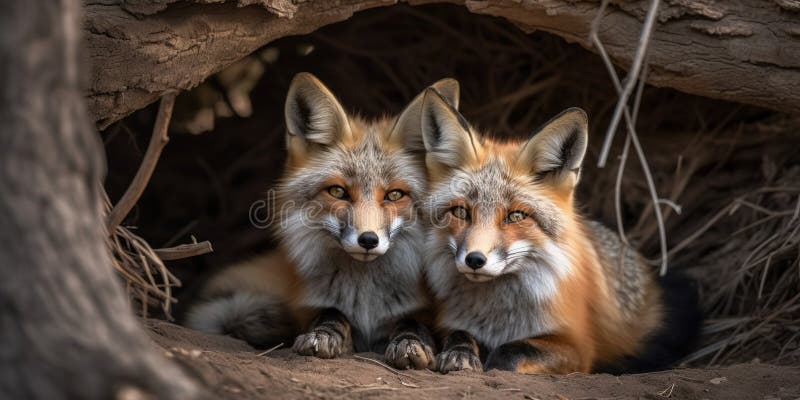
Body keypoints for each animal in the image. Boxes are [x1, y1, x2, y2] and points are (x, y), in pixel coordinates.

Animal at [185, 73, 461, 370]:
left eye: (395, 195)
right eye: (338, 192)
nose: (368, 240)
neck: (365, 300)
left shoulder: (426, 312)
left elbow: (411, 322)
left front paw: (410, 342)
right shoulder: (310, 306)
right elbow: (330, 313)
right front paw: (324, 335)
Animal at [417, 88, 701, 374]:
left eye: (515, 216)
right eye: (461, 212)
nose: (475, 260)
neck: (496, 316)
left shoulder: (577, 348)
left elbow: (510, 352)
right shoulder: (449, 323)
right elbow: (460, 333)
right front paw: (459, 352)